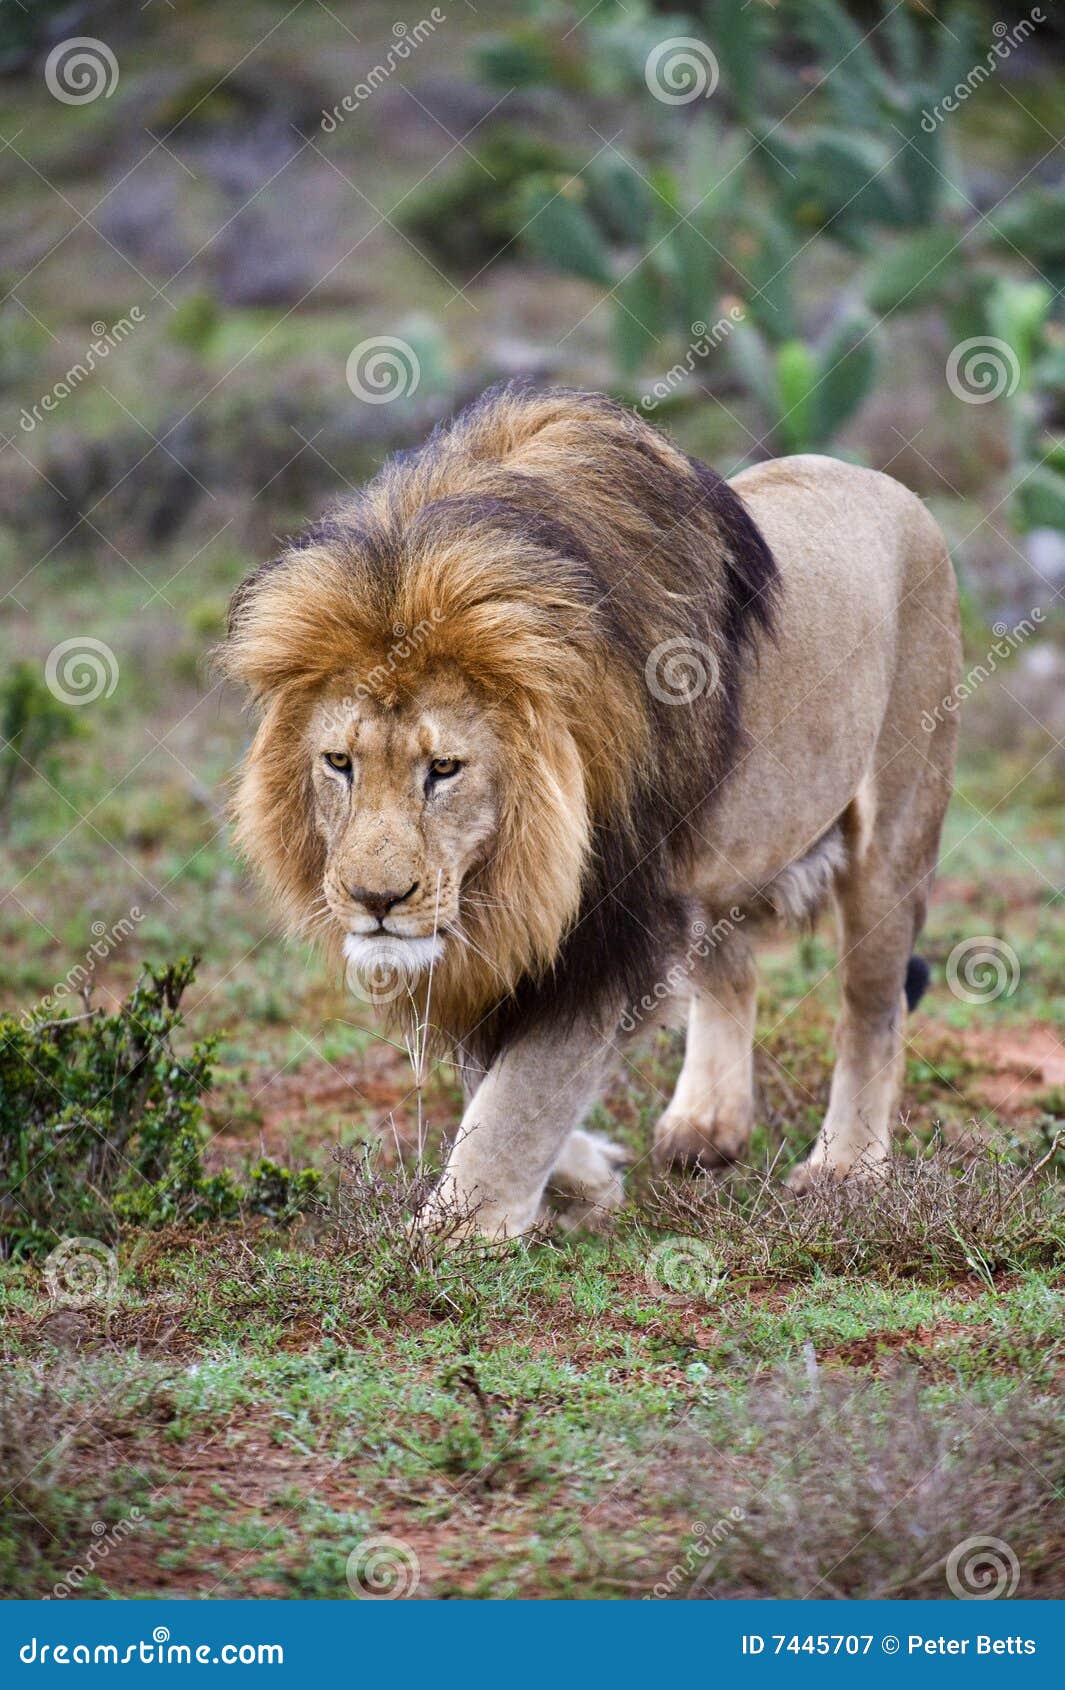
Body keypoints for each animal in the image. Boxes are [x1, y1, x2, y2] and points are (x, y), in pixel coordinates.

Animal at [222, 384, 961, 1237]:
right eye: (339, 763)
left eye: (443, 769)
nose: (376, 901)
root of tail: (891, 487)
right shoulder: (526, 937)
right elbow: (492, 1079)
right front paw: (585, 1178)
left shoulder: (614, 923)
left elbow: (521, 1094)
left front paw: (455, 1228)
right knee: (732, 973)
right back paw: (705, 1126)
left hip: (893, 833)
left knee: (873, 1006)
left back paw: (845, 1168)